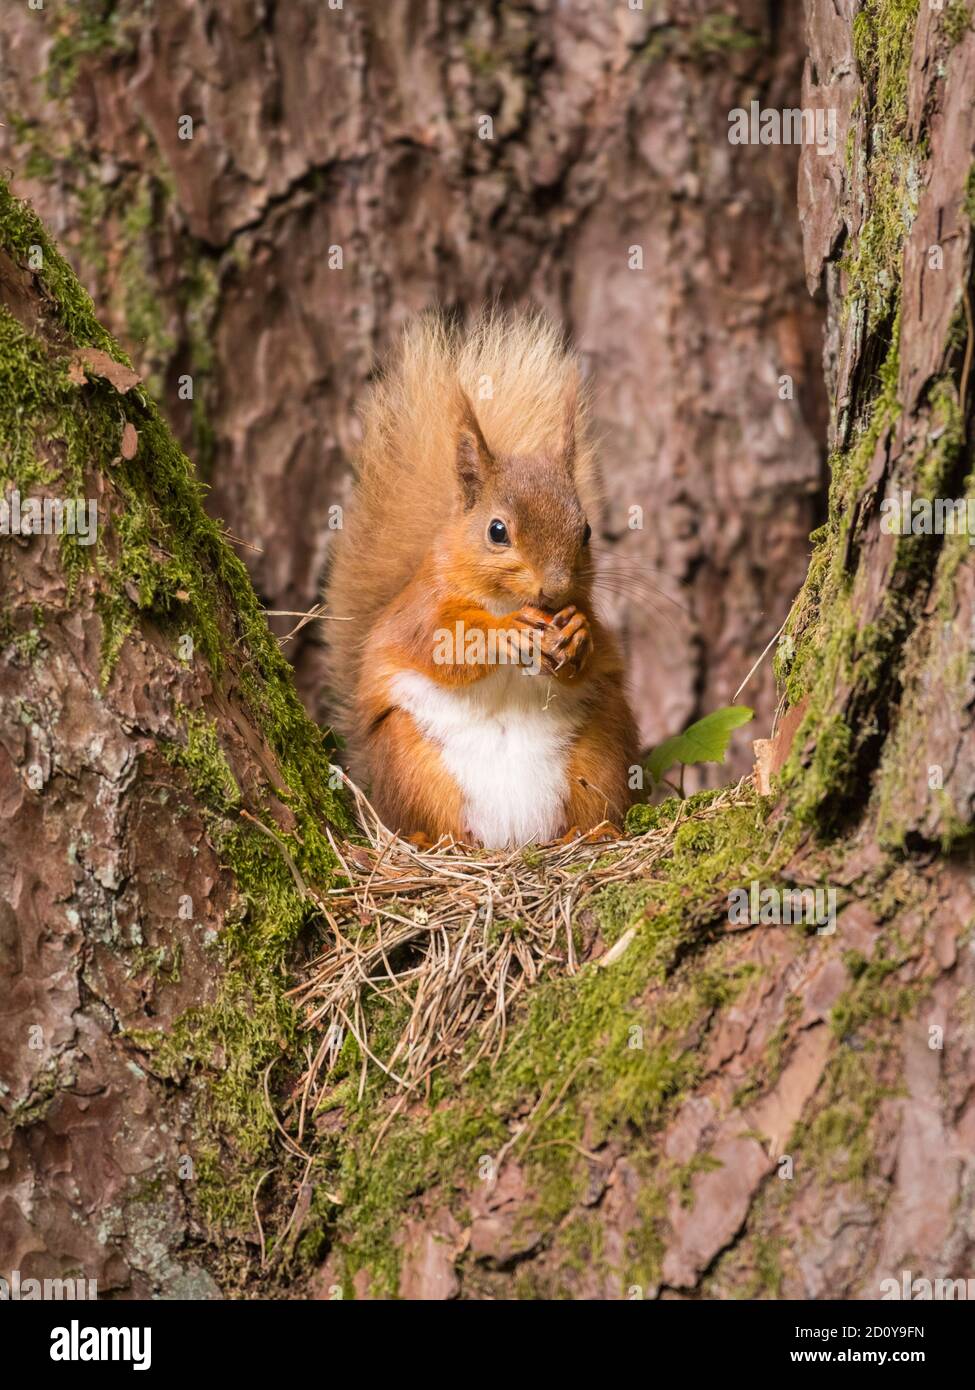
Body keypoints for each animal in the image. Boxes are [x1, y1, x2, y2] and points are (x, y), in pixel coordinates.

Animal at [324, 310, 639, 849]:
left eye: (586, 531)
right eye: (497, 531)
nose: (555, 589)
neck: (507, 600)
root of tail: (511, 838)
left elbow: (589, 643)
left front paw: (577, 635)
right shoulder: (421, 609)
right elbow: (445, 643)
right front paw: (504, 634)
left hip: (601, 741)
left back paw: (590, 833)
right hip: (411, 761)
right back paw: (434, 842)